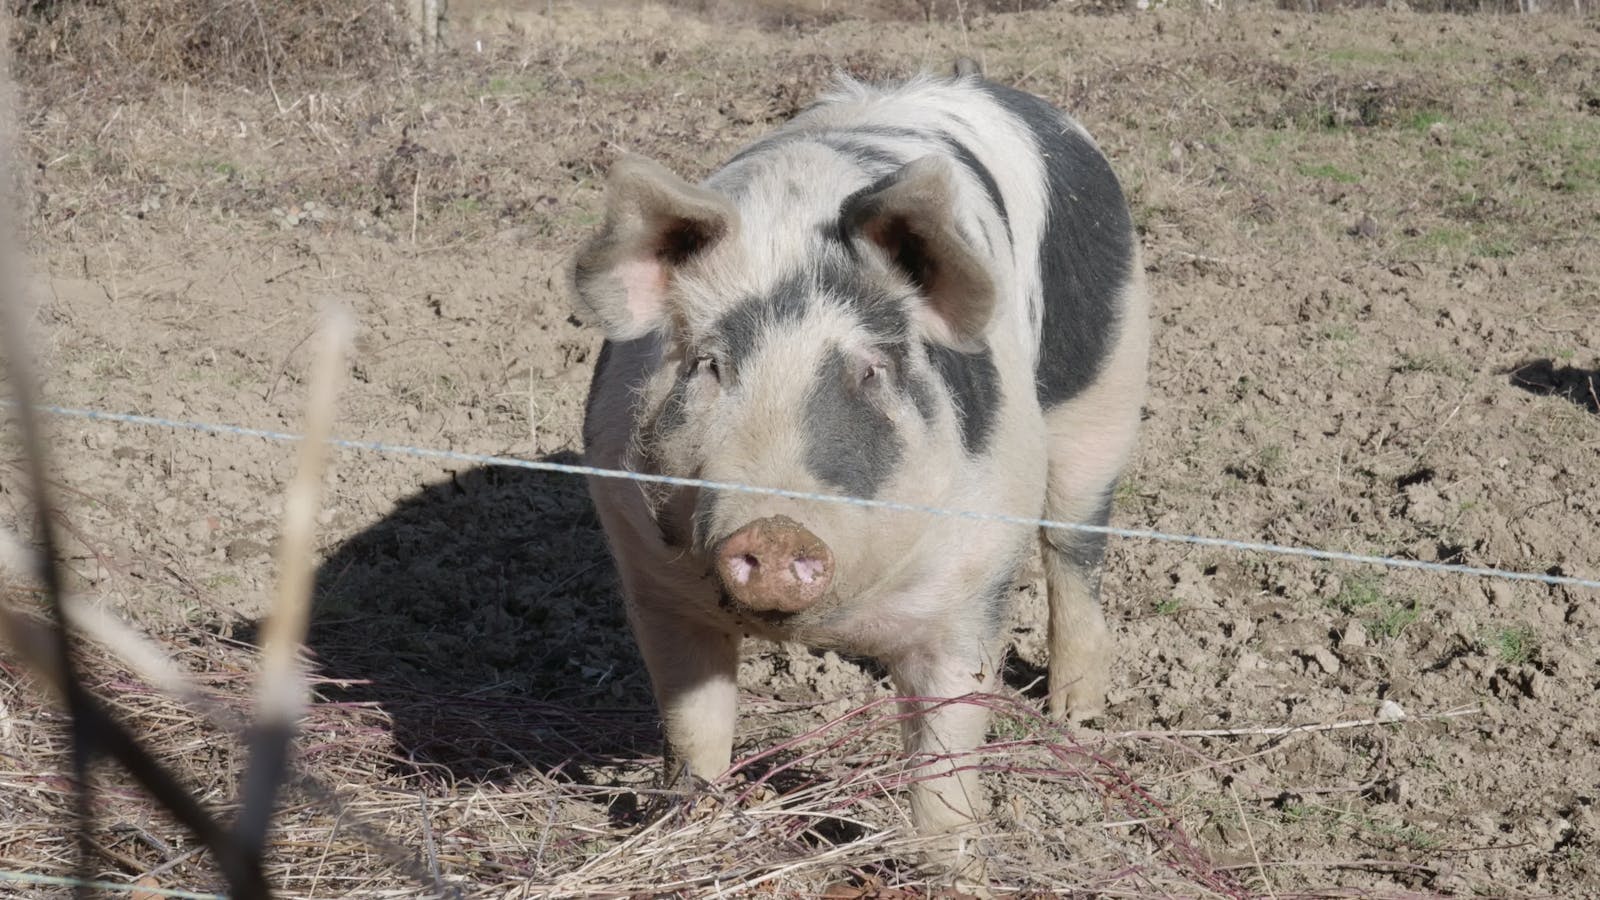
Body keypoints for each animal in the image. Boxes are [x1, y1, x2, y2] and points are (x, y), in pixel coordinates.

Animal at [571, 65, 1147, 866]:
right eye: (707, 365)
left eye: (872, 371)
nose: (777, 529)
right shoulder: (649, 580)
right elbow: (695, 728)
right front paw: (690, 830)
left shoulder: (973, 582)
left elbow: (946, 758)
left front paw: (953, 867)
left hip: (1105, 393)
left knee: (1076, 546)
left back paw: (1076, 716)